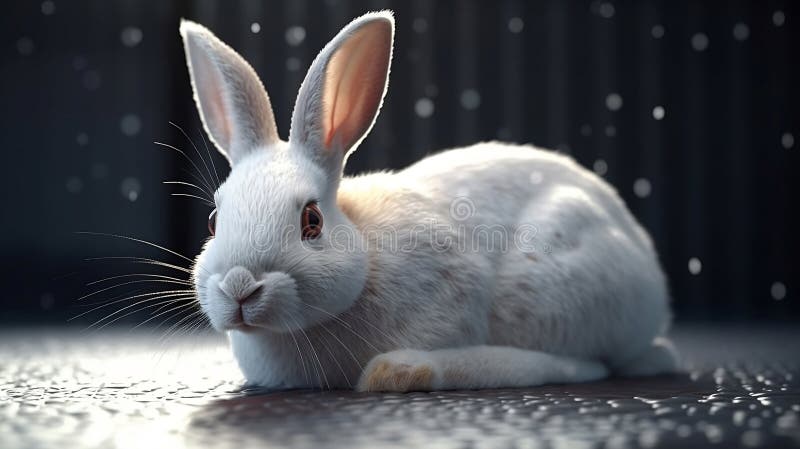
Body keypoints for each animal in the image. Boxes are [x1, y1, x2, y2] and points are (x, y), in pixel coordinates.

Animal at [181, 11, 678, 392]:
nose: (239, 286)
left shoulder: (457, 289)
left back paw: (400, 370)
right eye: (213, 221)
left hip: (553, 287)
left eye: (312, 220)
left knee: (586, 365)